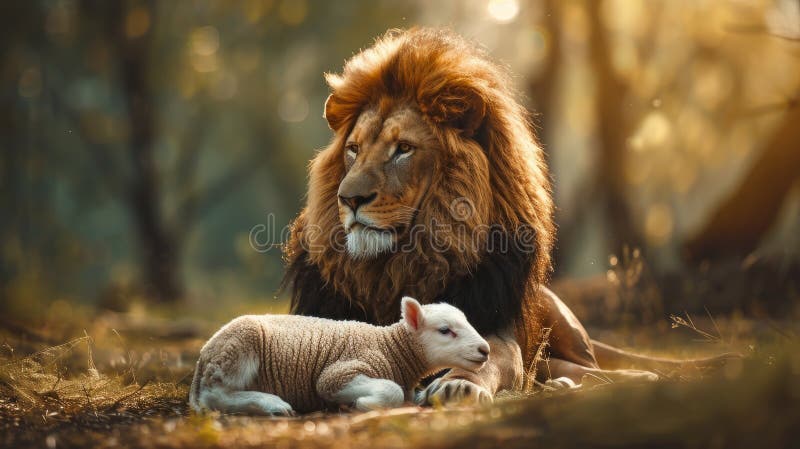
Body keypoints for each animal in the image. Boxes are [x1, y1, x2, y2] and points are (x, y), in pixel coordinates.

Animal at [189, 296, 490, 415]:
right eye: (445, 330)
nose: (485, 350)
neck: (390, 347)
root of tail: (204, 353)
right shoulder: (338, 373)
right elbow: (390, 390)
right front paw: (360, 405)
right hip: (238, 346)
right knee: (215, 395)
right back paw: (272, 404)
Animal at [283, 28, 732, 405]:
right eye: (353, 149)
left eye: (403, 149)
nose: (349, 198)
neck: (399, 265)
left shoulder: (496, 328)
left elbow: (495, 358)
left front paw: (459, 384)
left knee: (594, 369)